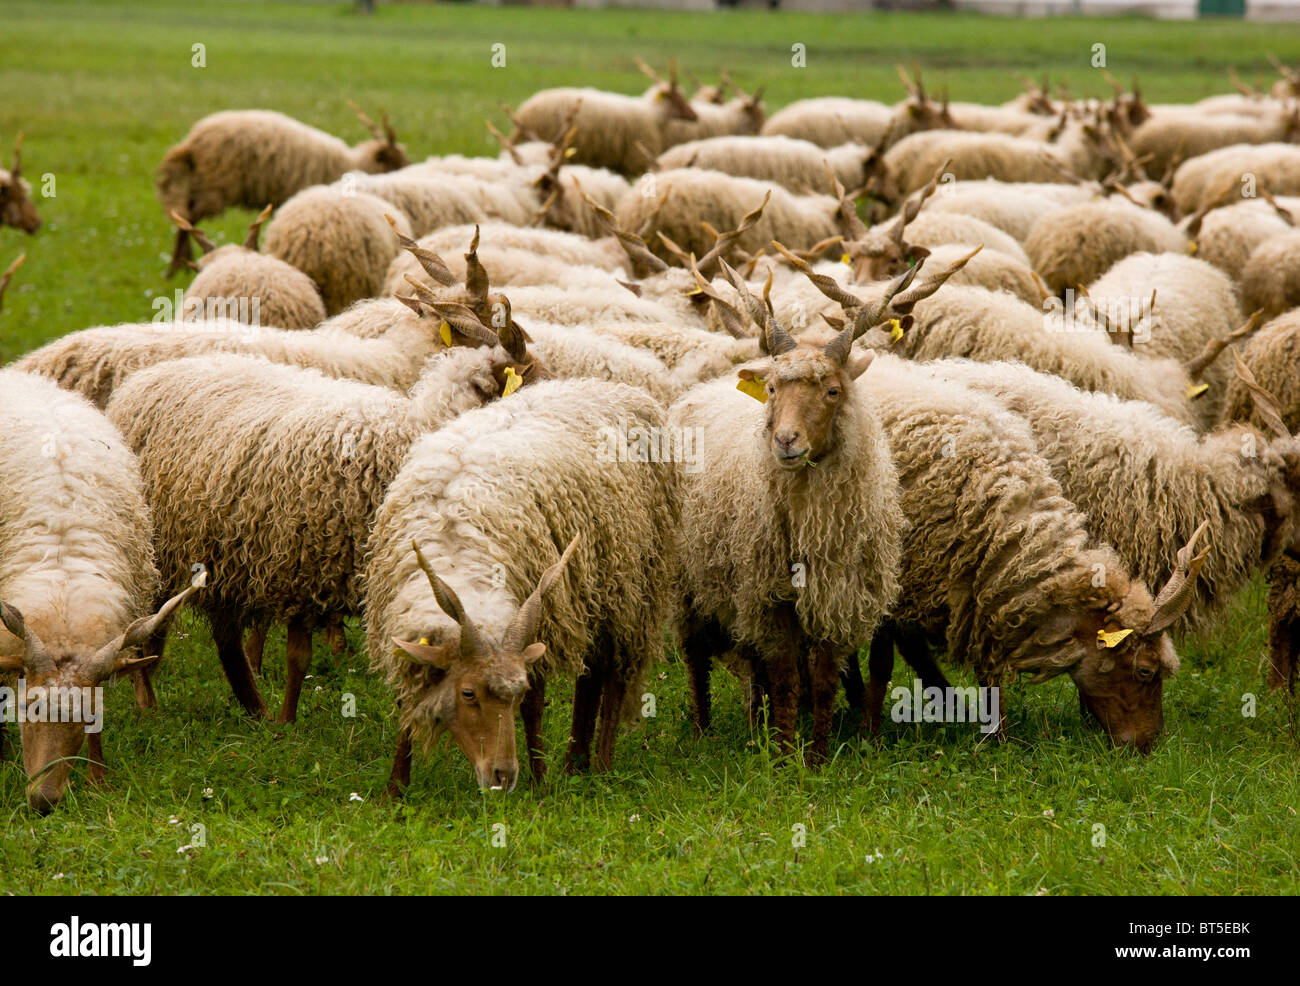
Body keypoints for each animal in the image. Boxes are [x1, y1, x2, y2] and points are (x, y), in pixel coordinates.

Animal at [156, 104, 408, 276]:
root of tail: (192, 142)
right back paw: (176, 268)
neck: (350, 163)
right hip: (215, 186)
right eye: (394, 161)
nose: (410, 169)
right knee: (188, 218)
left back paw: (180, 265)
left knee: (185, 215)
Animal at [368, 377, 680, 790]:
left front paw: (540, 782)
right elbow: (406, 704)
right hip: (594, 588)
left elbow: (534, 709)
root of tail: (614, 388)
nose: (502, 775)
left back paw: (599, 766)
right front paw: (395, 788)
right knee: (591, 674)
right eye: (468, 693)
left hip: (632, 584)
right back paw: (576, 763)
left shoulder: (539, 616)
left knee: (614, 672)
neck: (454, 548)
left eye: (515, 694)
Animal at [668, 263, 913, 763]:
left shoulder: (833, 596)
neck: (809, 520)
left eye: (834, 391)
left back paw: (752, 724)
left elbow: (820, 680)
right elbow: (784, 679)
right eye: (773, 388)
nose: (785, 440)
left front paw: (816, 755)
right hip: (689, 580)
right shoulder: (770, 596)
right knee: (695, 656)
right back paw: (703, 731)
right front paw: (782, 755)